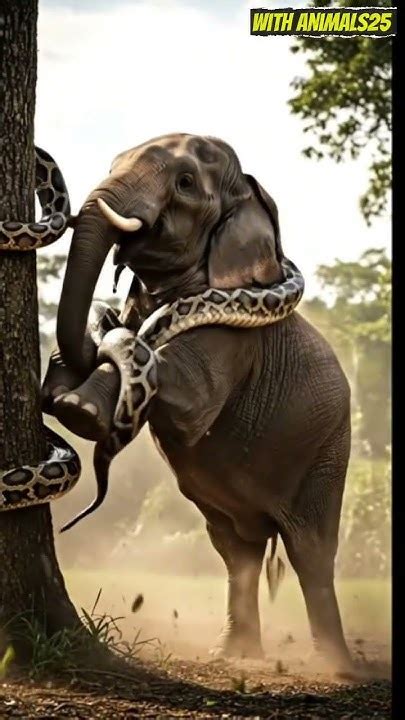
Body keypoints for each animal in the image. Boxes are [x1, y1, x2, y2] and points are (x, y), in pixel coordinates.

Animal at [42, 133, 353, 672]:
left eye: (185, 183)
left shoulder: (237, 341)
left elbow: (190, 397)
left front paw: (79, 411)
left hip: (328, 451)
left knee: (311, 551)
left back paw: (333, 667)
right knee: (236, 550)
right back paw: (232, 654)